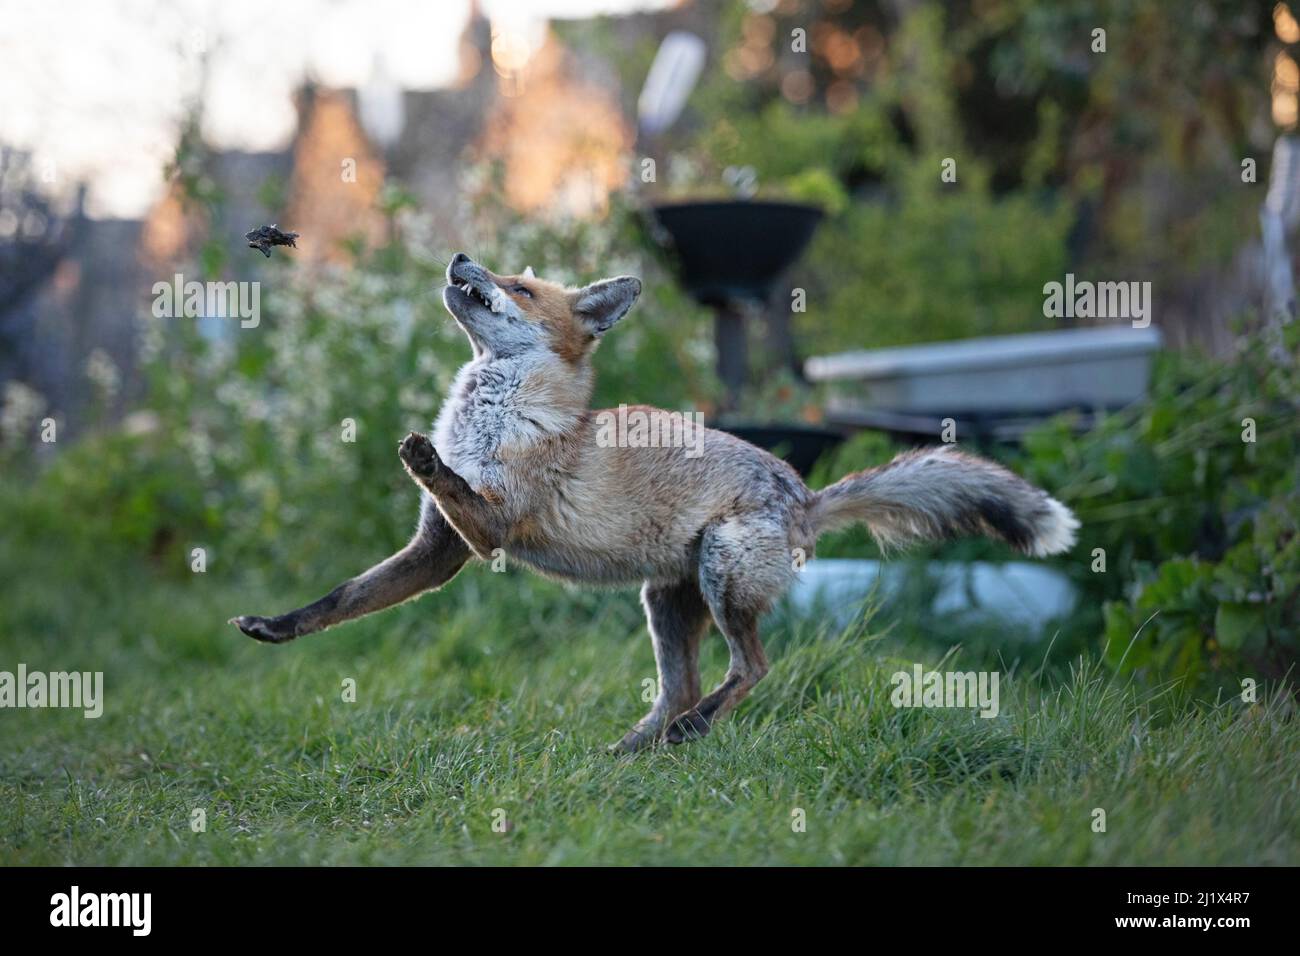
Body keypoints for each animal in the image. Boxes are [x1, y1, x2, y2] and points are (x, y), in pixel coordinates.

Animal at [231, 252, 1079, 752]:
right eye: (505, 271)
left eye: (520, 287)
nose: (461, 256)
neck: (494, 418)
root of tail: (804, 494)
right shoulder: (435, 552)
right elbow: (342, 599)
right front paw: (277, 626)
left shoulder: (492, 529)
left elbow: (450, 481)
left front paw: (425, 456)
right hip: (666, 603)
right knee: (686, 685)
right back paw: (636, 749)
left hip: (723, 574)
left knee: (752, 668)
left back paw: (690, 733)